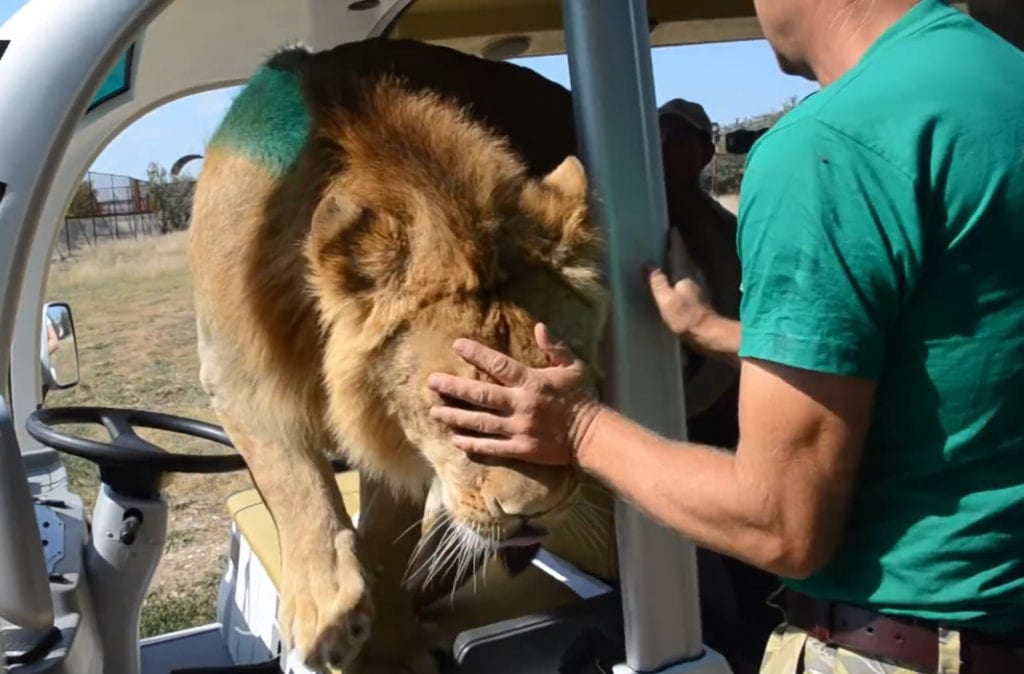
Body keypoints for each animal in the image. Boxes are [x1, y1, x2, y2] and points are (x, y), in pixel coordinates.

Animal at [189, 38, 616, 673]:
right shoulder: (234, 373)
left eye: (568, 392)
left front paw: (386, 643)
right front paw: (325, 608)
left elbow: (391, 534)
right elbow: (290, 474)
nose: (530, 513)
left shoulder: (393, 432)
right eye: (456, 404)